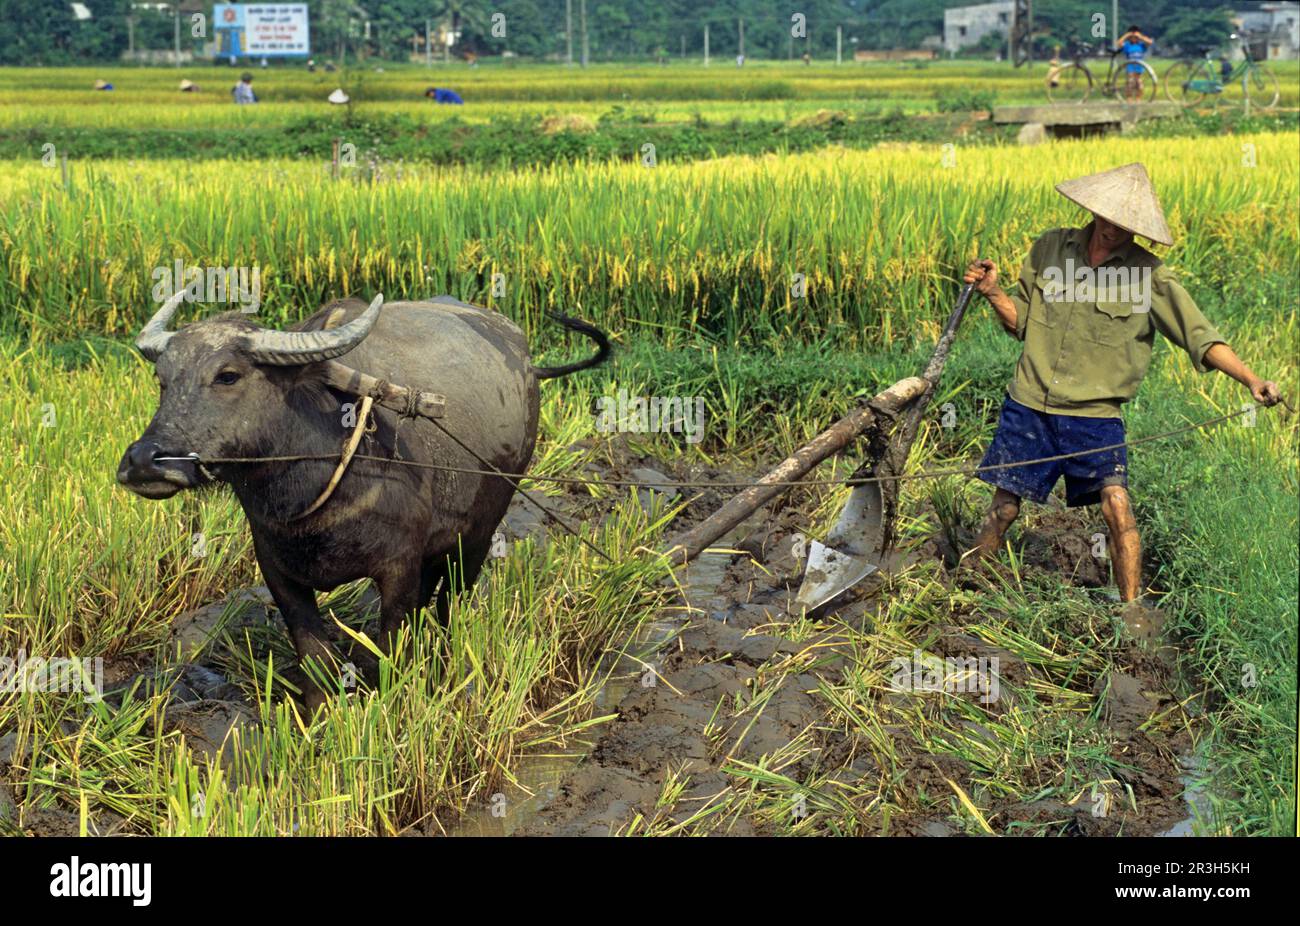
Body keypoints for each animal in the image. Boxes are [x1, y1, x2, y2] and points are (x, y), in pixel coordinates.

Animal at [118, 292, 609, 709]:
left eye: (227, 375)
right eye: (162, 380)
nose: (145, 461)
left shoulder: (398, 567)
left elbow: (391, 647)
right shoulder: (278, 571)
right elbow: (313, 656)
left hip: (478, 535)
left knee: (450, 605)